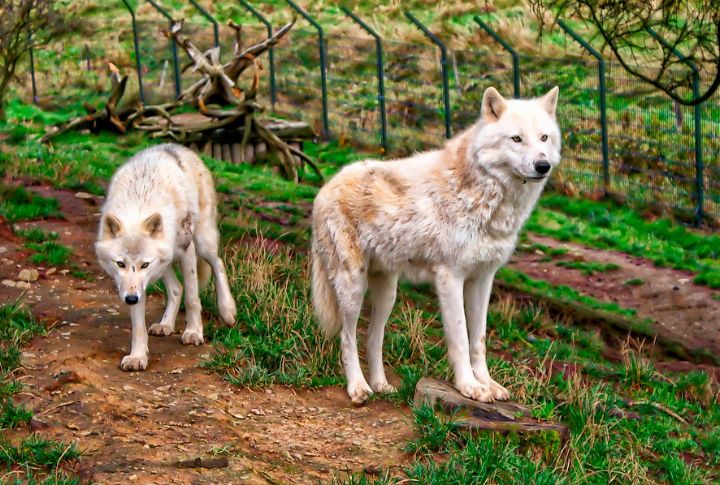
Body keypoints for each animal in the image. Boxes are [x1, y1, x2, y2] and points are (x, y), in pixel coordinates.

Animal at [95, 144, 237, 371]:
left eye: (144, 264)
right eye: (120, 264)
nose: (131, 299)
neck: (139, 203)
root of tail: (177, 147)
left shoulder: (186, 250)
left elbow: (192, 298)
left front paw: (194, 332)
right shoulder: (136, 286)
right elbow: (138, 325)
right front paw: (137, 357)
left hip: (202, 242)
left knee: (218, 264)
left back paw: (227, 310)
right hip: (165, 262)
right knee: (176, 288)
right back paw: (165, 325)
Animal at [311, 86, 560, 404]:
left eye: (544, 138)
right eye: (516, 139)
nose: (543, 165)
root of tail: (325, 187)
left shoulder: (483, 279)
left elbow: (478, 339)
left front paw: (488, 385)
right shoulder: (450, 278)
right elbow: (460, 338)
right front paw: (469, 387)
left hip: (388, 292)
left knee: (373, 337)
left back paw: (380, 385)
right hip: (352, 286)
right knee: (347, 336)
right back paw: (358, 388)